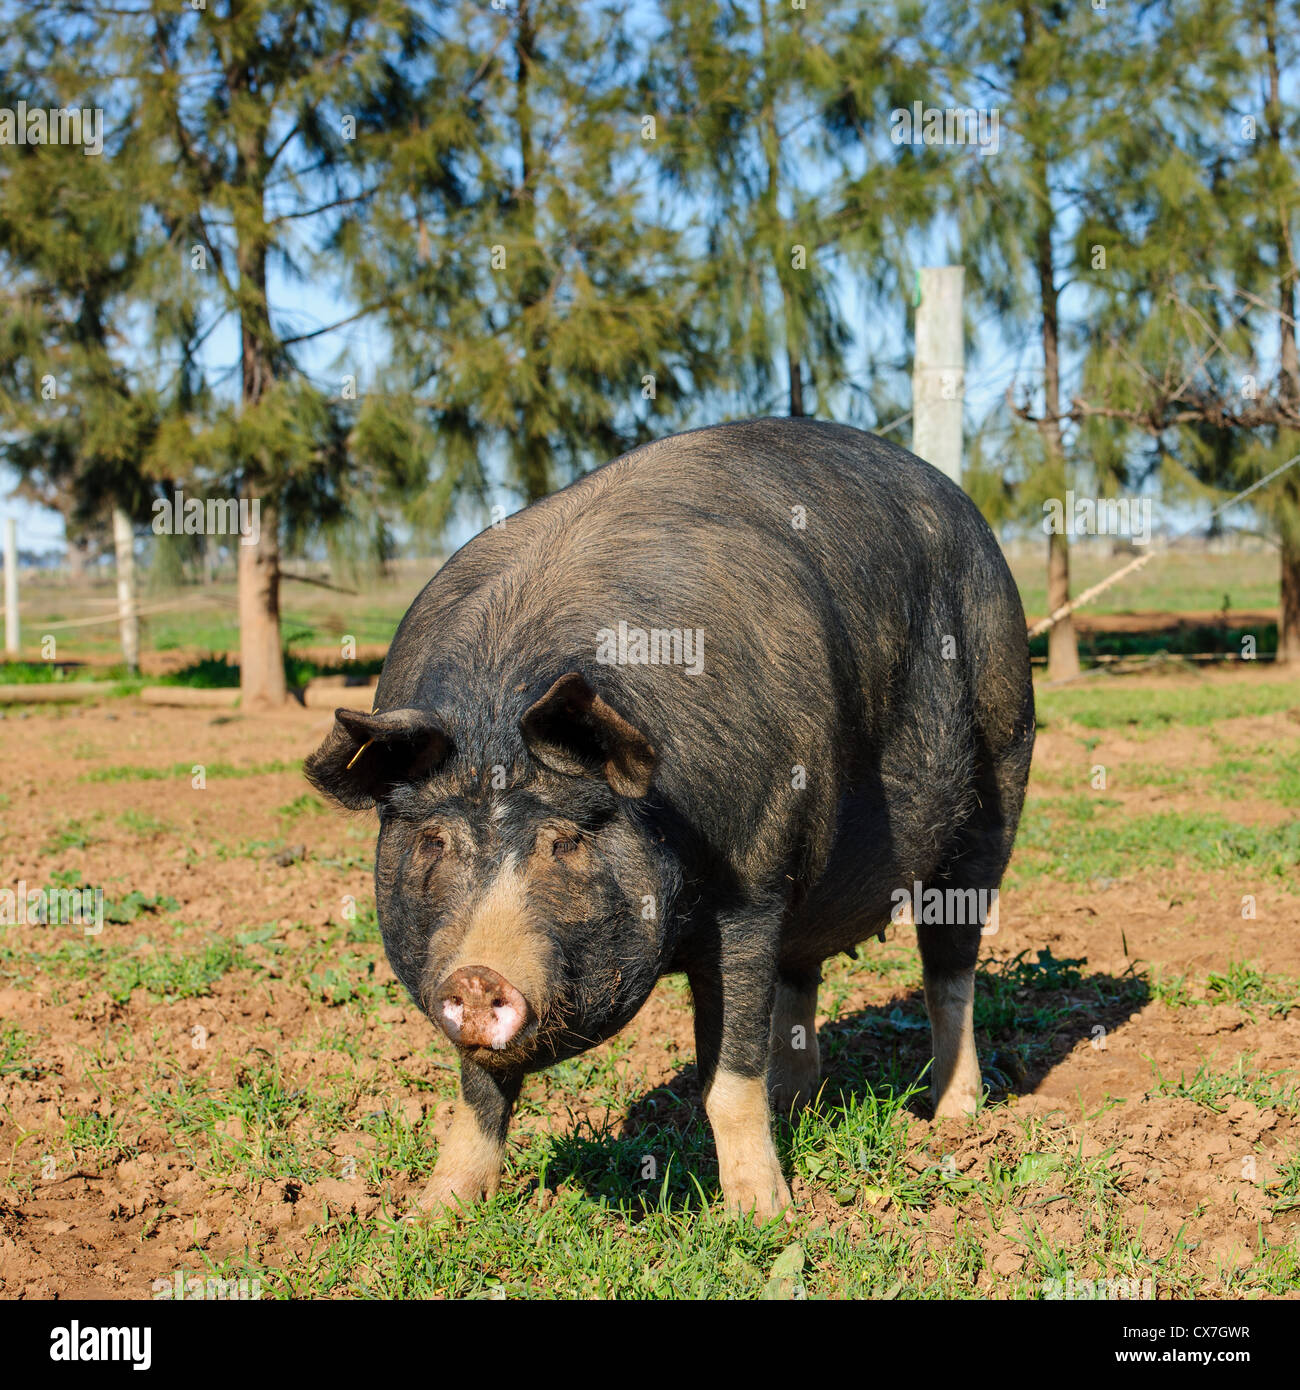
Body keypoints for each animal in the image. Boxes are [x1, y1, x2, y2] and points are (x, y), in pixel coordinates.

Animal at [304, 416, 1035, 1220]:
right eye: (434, 839)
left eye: (567, 840)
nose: (475, 977)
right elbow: (479, 1092)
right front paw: (433, 1214)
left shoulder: (752, 884)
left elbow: (728, 1076)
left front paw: (763, 1216)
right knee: (803, 974)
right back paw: (798, 1107)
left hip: (1000, 766)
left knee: (950, 962)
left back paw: (956, 1117)